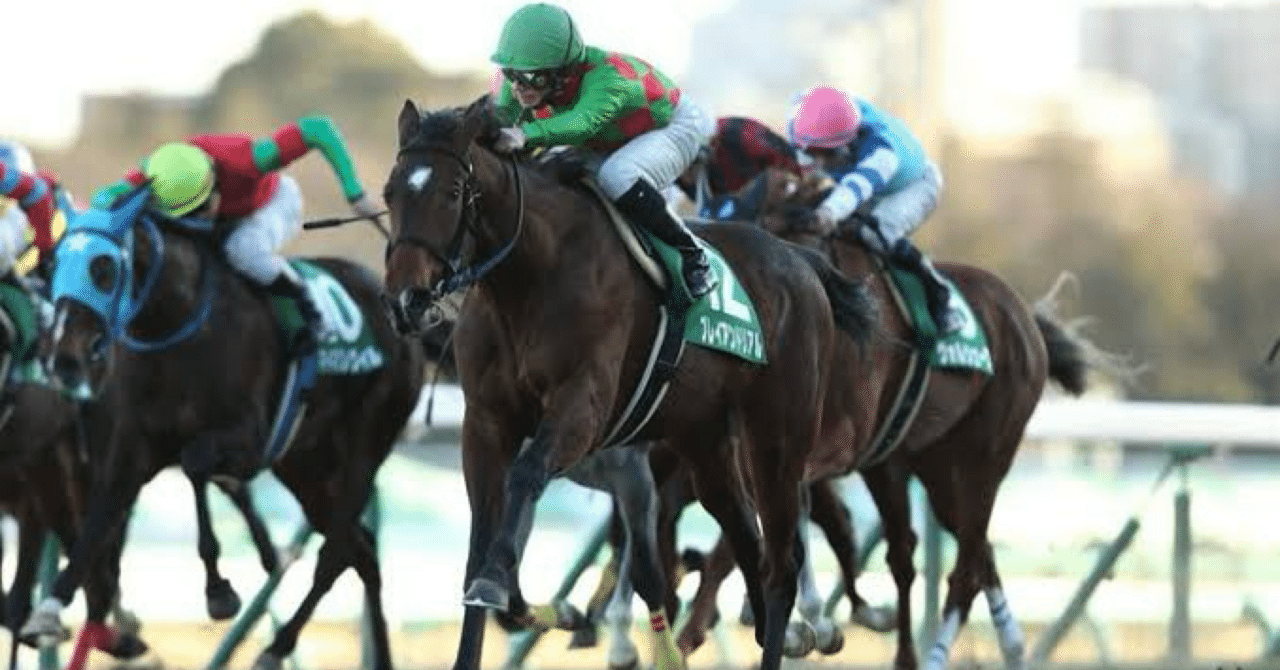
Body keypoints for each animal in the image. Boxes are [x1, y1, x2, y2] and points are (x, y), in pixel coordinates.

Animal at [24, 183, 425, 670]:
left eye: (103, 268)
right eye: (54, 265)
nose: (63, 356)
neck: (177, 323)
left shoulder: (250, 441)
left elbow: (195, 464)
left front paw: (219, 589)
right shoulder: (132, 450)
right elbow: (100, 519)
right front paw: (48, 610)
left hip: (366, 441)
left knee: (336, 553)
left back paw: (277, 646)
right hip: (305, 464)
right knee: (361, 552)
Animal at [382, 95, 878, 670]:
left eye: (452, 193)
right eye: (390, 192)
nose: (406, 300)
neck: (531, 274)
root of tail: (799, 260)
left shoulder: (586, 410)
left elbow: (527, 479)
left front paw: (508, 585)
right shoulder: (486, 421)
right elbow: (482, 544)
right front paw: (516, 599)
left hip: (777, 438)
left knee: (781, 562)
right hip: (706, 444)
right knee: (748, 544)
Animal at [672, 165, 1128, 670]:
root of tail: (1024, 315)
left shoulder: (832, 443)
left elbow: (790, 516)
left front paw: (794, 619)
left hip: (986, 456)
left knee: (964, 568)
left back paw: (940, 653)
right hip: (932, 465)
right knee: (953, 552)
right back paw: (1004, 647)